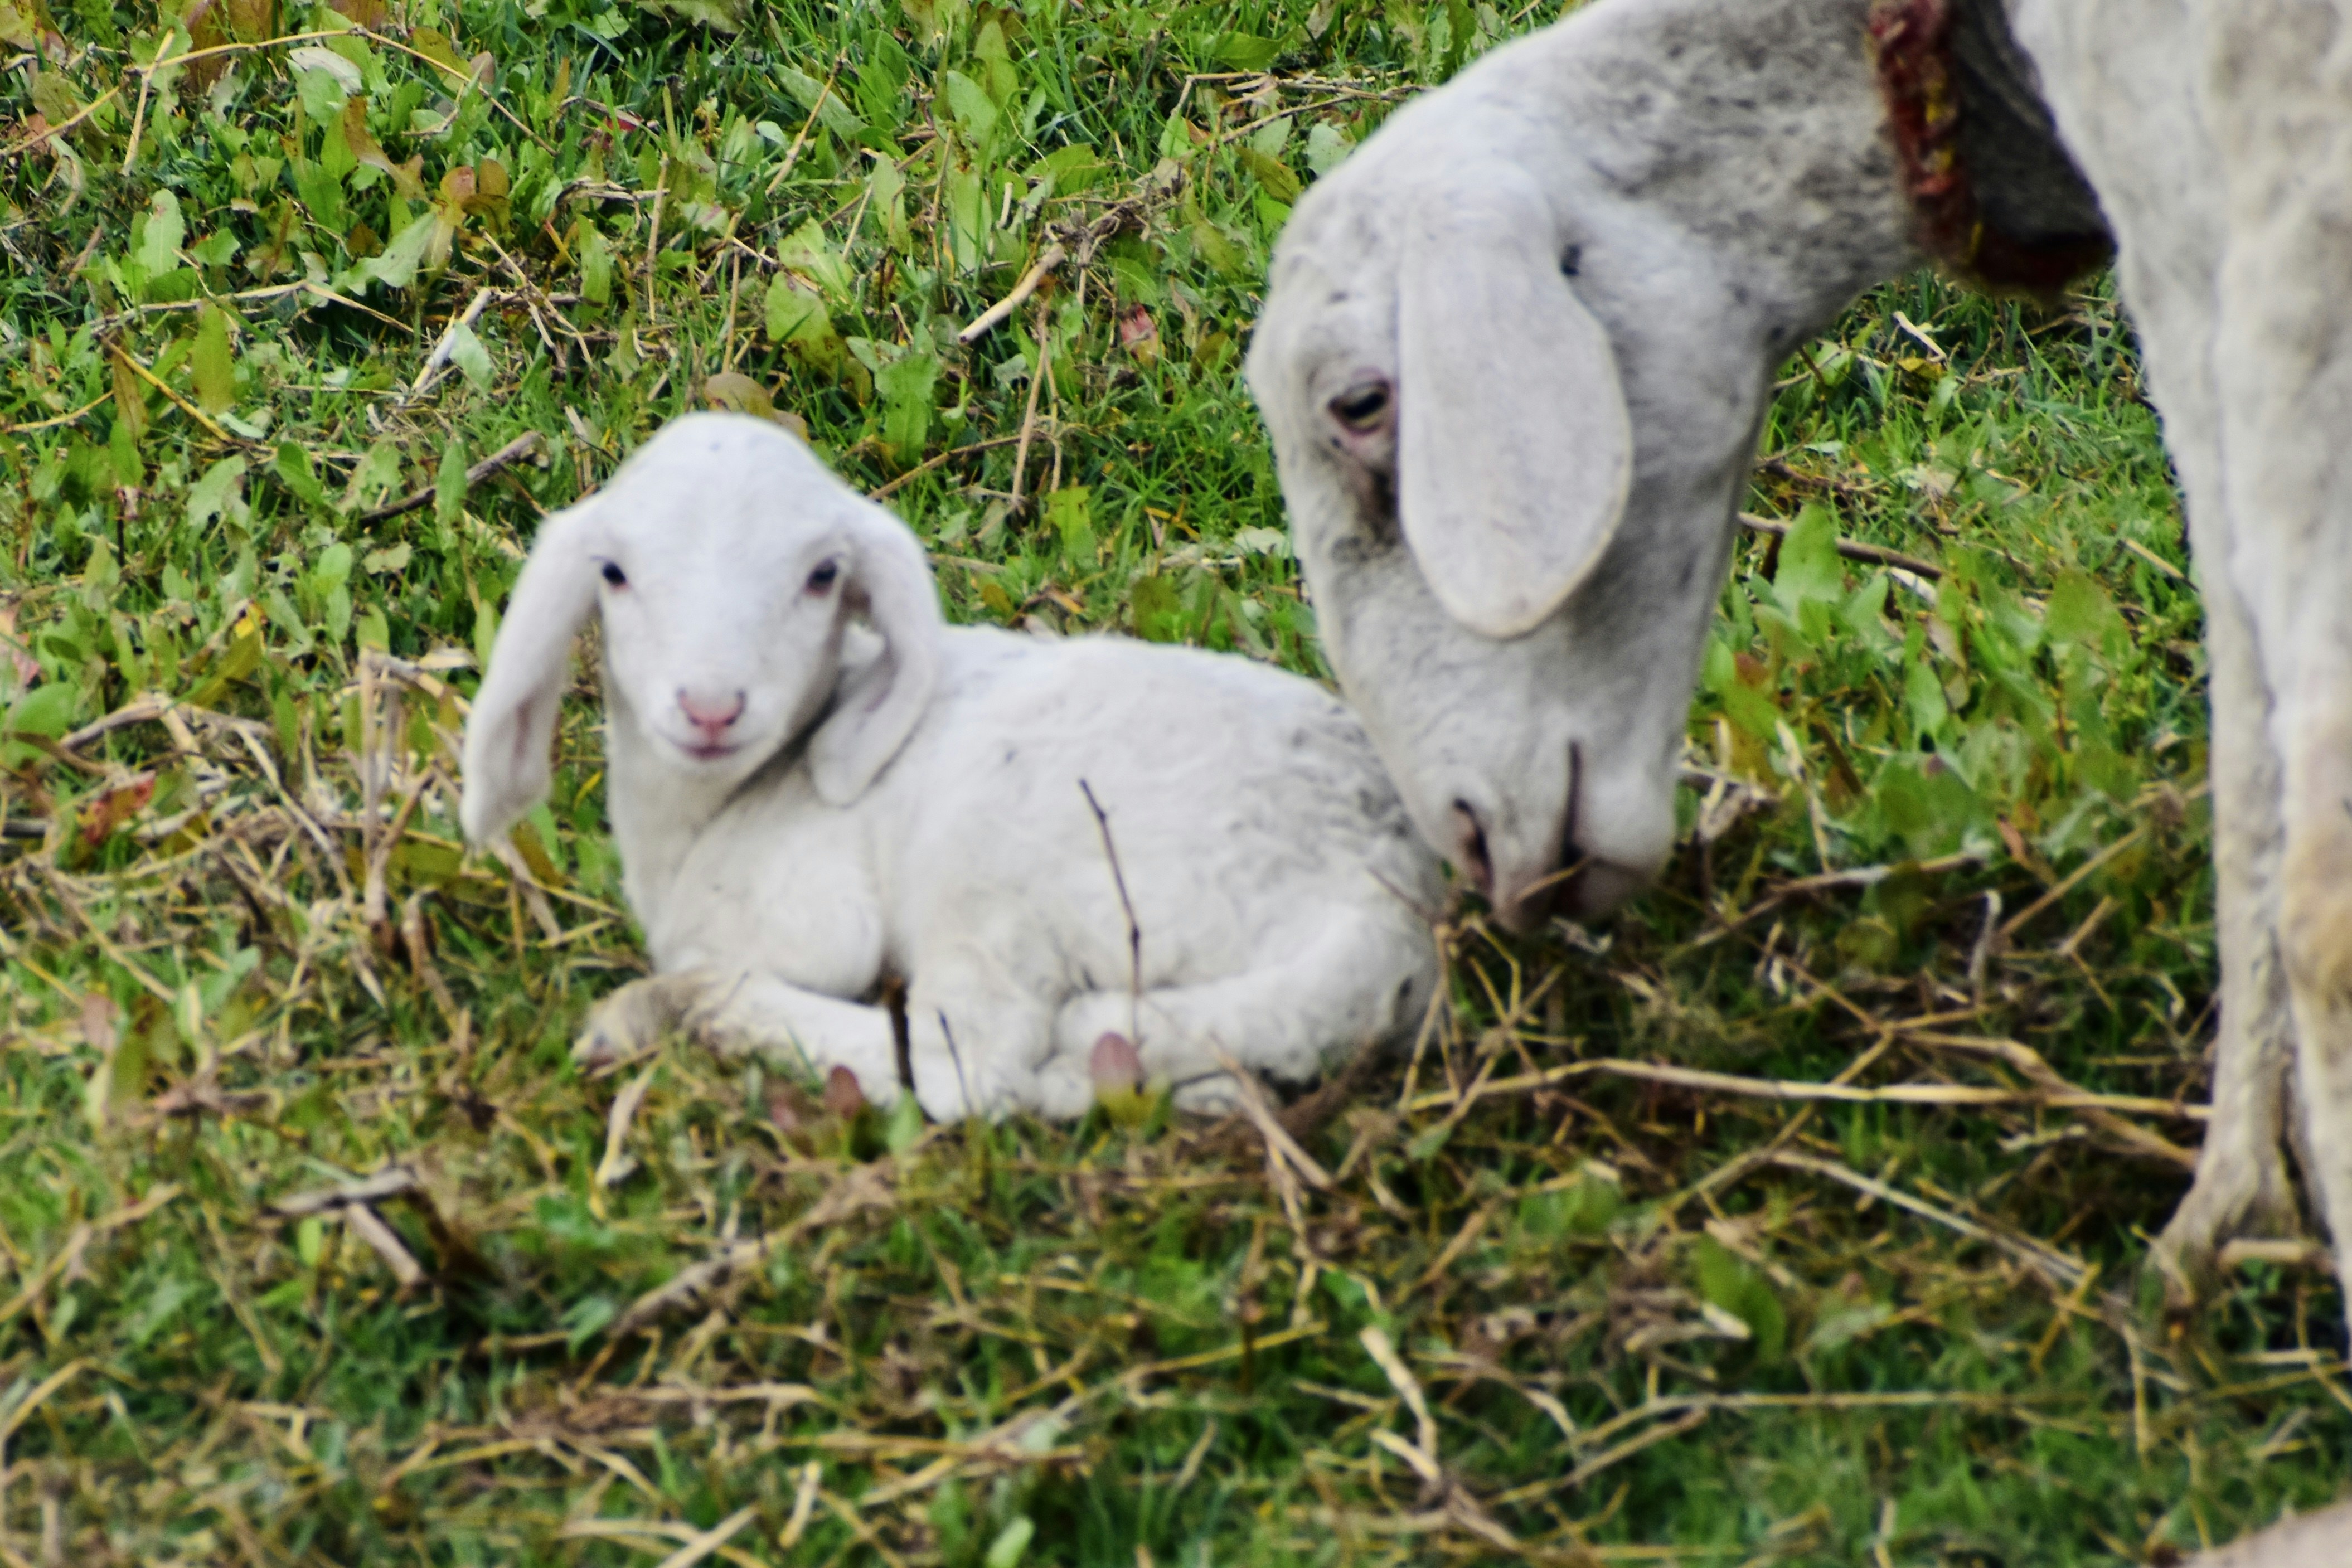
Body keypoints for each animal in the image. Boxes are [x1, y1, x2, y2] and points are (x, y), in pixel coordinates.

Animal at [457, 411, 1442, 1121]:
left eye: (822, 576)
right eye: (613, 573)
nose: (709, 707)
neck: (710, 809)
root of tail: (1382, 894)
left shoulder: (813, 913)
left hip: (1005, 878)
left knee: (967, 1070)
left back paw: (682, 1012)